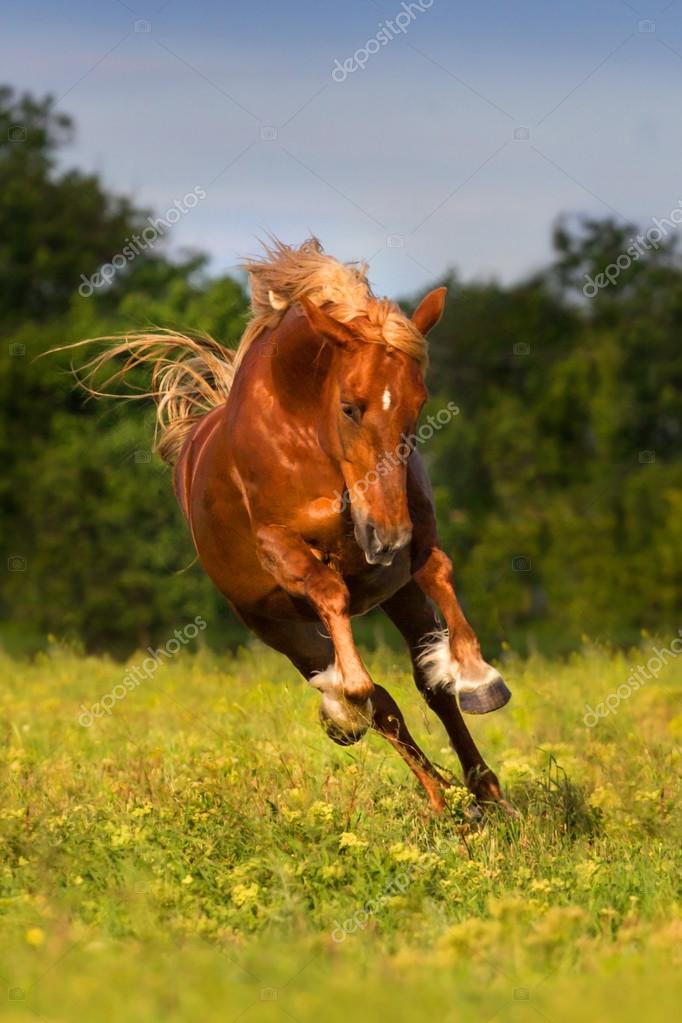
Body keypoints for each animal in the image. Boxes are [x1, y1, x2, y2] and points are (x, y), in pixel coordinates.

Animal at [71, 238, 512, 813]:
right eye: (350, 407)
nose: (386, 538)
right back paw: (438, 795)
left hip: (395, 595)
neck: (306, 434)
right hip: (276, 626)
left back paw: (483, 796)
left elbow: (438, 569)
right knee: (382, 704)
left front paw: (481, 679)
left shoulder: (411, 536)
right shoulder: (280, 547)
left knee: (426, 687)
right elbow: (337, 612)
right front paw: (342, 705)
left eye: (419, 404)